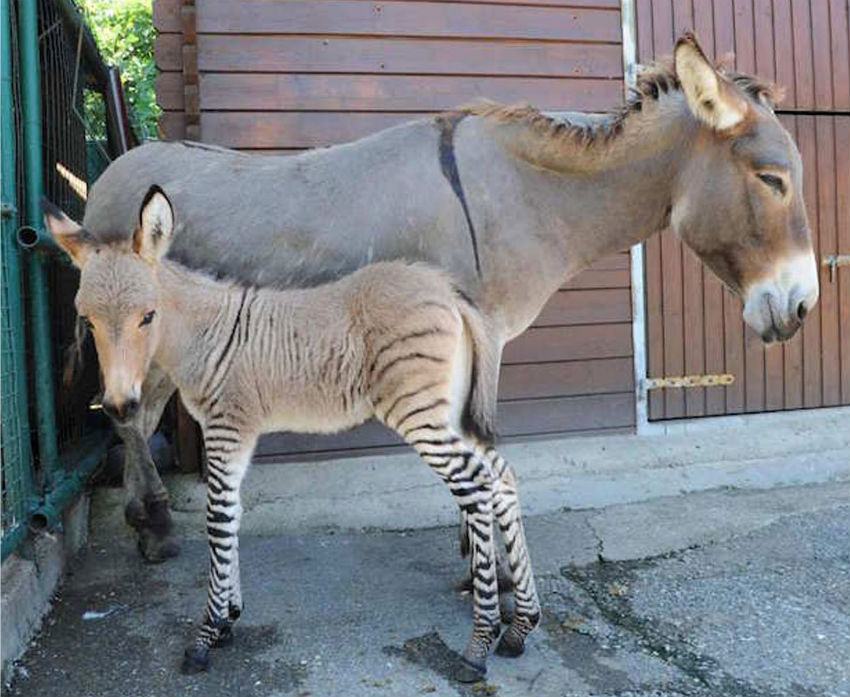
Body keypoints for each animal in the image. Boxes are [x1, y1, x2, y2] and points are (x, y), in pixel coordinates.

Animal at [44, 186, 540, 682]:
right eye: (87, 320)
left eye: (147, 316)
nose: (118, 406)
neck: (202, 335)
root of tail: (448, 291)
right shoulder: (232, 435)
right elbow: (233, 514)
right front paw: (228, 617)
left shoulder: (226, 428)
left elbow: (218, 521)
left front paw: (206, 636)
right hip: (447, 411)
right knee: (501, 476)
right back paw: (520, 627)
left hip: (418, 411)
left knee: (475, 484)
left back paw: (479, 644)